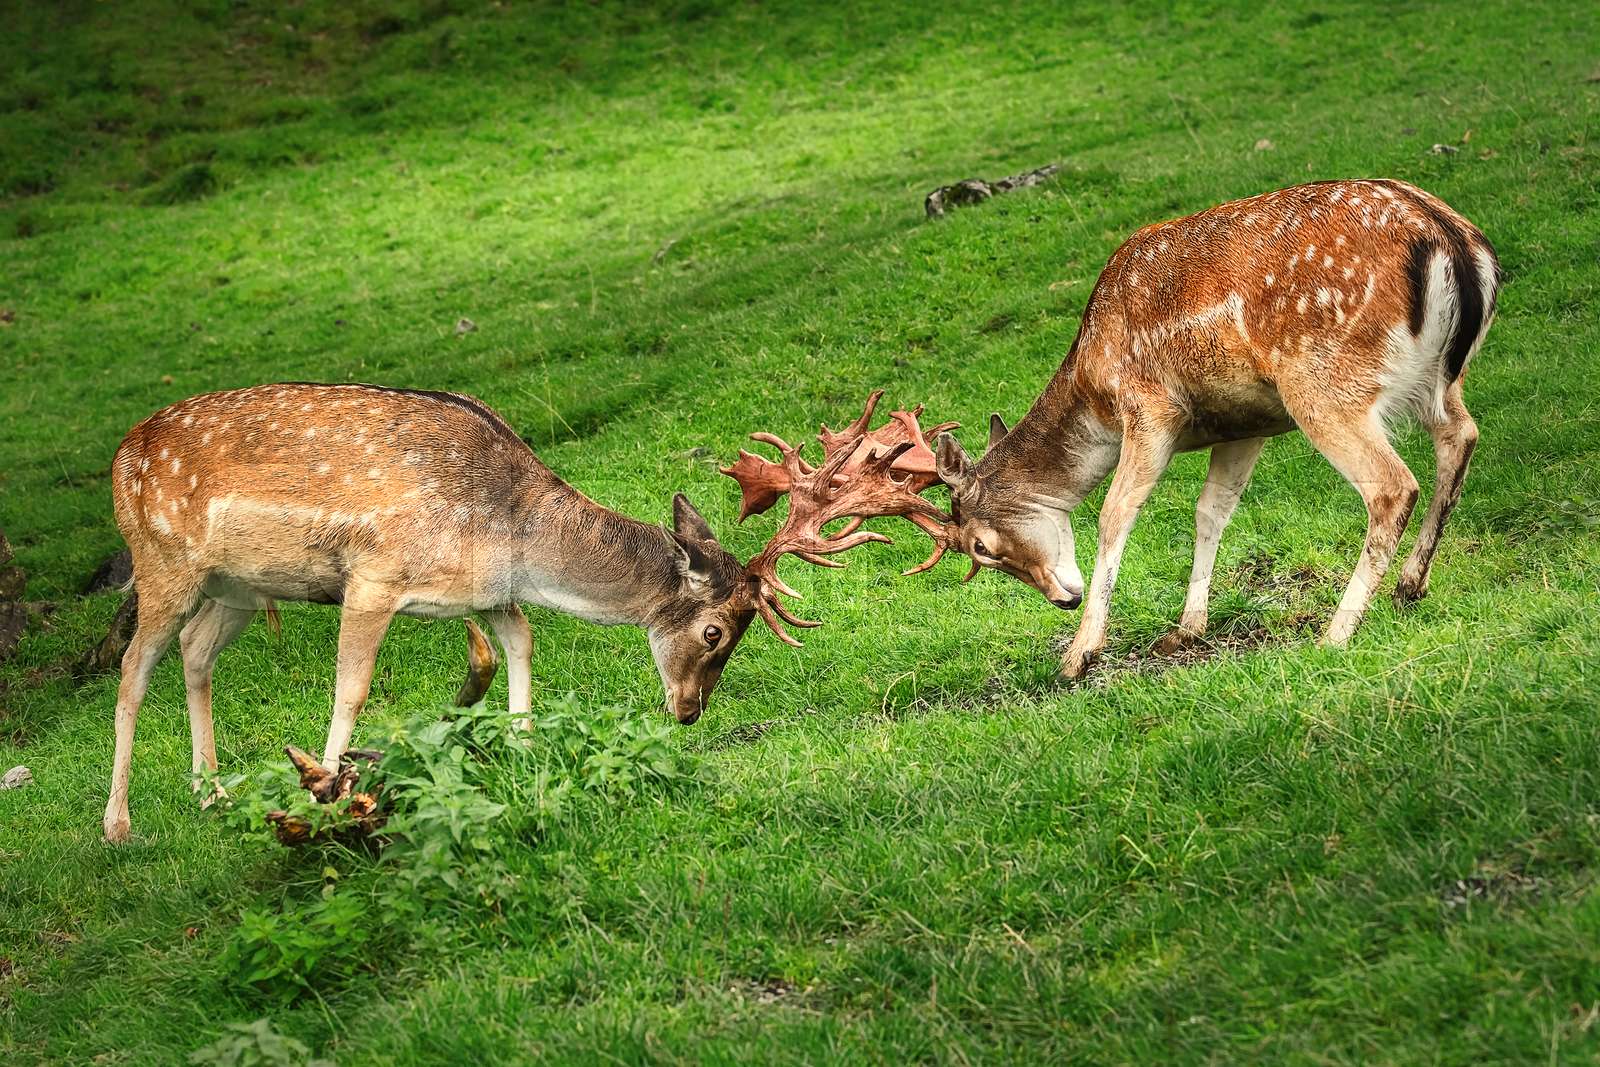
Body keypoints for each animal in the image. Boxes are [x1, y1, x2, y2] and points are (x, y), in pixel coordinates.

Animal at [102, 383, 945, 842]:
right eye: (713, 632)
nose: (689, 710)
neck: (508, 531)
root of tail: (121, 451)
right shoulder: (373, 576)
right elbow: (352, 688)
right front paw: (328, 794)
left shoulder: (487, 594)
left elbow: (522, 642)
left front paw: (525, 748)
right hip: (163, 560)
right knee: (131, 667)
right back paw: (117, 822)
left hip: (238, 588)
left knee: (197, 653)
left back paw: (209, 789)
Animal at [905, 179, 1498, 679]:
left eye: (979, 547)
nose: (1062, 598)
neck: (1094, 388)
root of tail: (1454, 243)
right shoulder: (1246, 423)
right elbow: (1211, 509)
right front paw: (1185, 630)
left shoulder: (1149, 406)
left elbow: (1115, 512)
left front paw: (1080, 653)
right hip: (1436, 380)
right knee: (1461, 436)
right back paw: (1410, 585)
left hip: (1324, 381)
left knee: (1393, 485)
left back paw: (1335, 633)